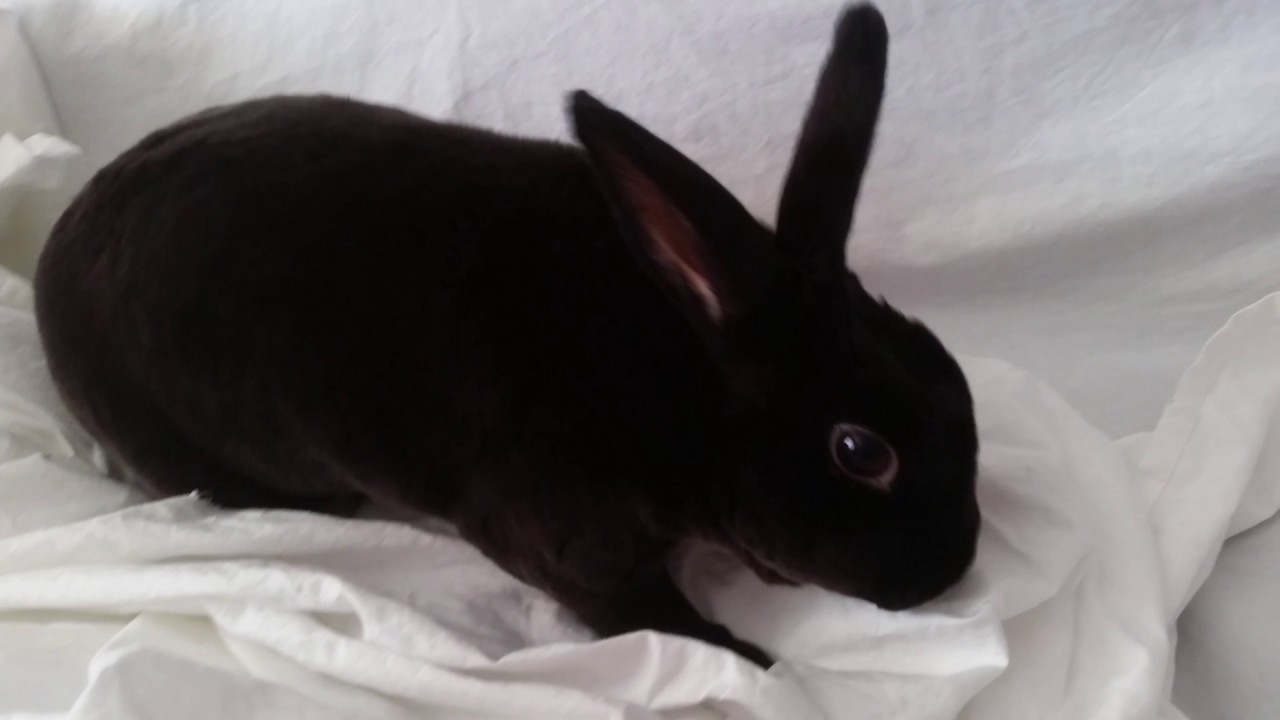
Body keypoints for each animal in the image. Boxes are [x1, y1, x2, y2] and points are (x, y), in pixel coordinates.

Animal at [33, 4, 979, 668]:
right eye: (860, 451)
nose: (955, 566)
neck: (679, 385)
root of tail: (53, 256)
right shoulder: (572, 555)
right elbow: (651, 616)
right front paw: (753, 660)